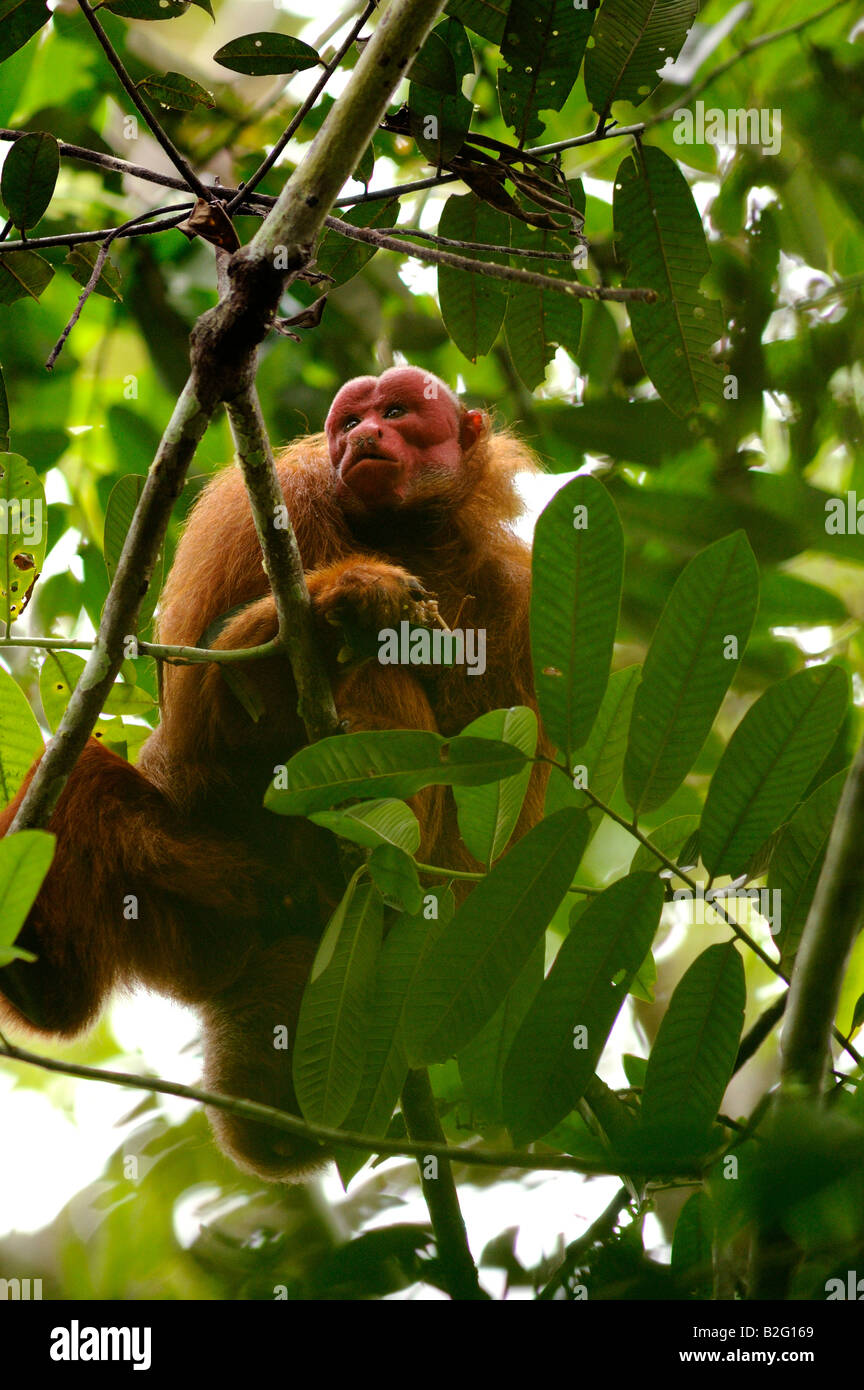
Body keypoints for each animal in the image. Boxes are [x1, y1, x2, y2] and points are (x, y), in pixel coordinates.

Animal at [0, 366, 545, 1179]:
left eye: (395, 412)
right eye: (349, 421)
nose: (361, 436)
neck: (406, 532)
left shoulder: (519, 600)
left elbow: (477, 853)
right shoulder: (277, 496)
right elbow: (196, 729)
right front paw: (350, 594)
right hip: (202, 892)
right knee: (86, 775)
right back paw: (39, 984)